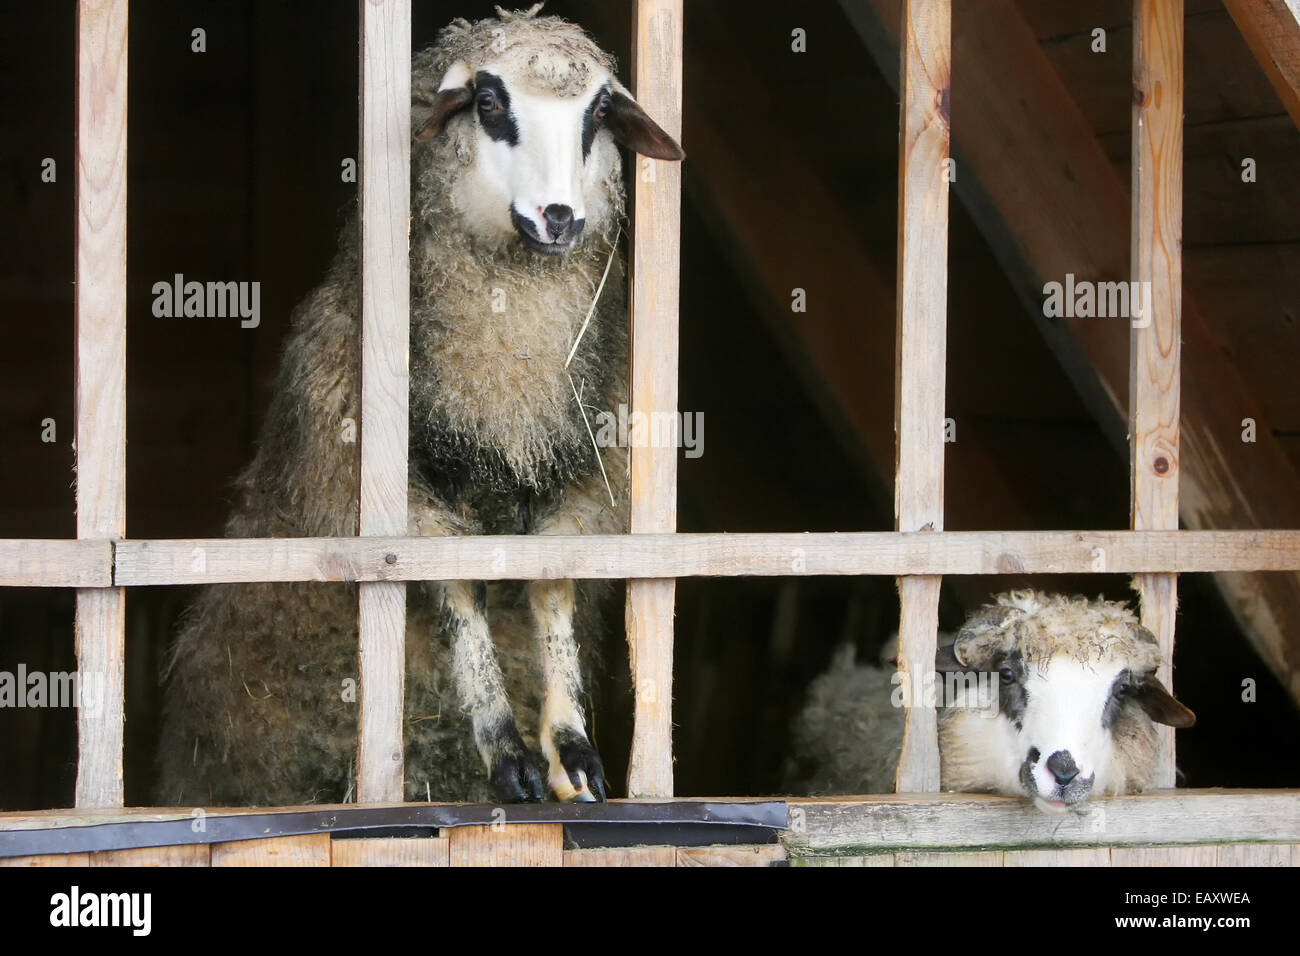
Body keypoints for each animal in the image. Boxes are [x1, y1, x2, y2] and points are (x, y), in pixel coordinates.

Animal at [156, 5, 683, 807]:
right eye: (489, 102)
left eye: (597, 113)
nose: (560, 218)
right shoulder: (401, 496)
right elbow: (458, 590)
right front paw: (506, 751)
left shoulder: (582, 477)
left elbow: (552, 584)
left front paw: (570, 750)